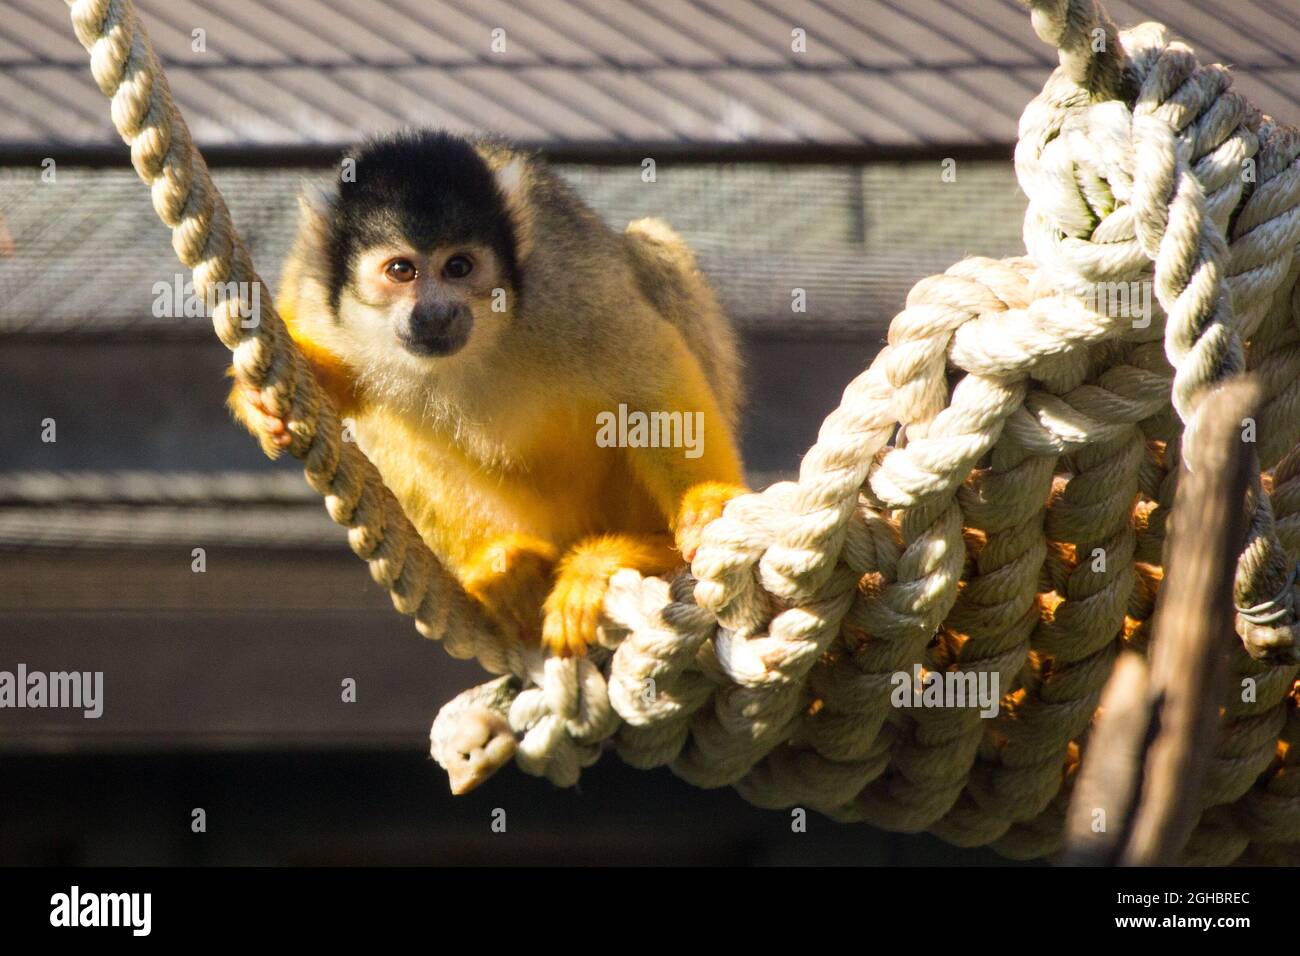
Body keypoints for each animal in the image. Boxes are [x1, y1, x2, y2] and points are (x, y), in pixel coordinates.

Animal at [231, 129, 746, 657]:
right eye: (401, 270)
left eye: (459, 266)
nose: (435, 314)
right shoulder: (312, 286)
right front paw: (259, 401)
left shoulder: (562, 280)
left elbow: (646, 373)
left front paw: (706, 502)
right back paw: (502, 566)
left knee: (650, 248)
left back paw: (641, 552)